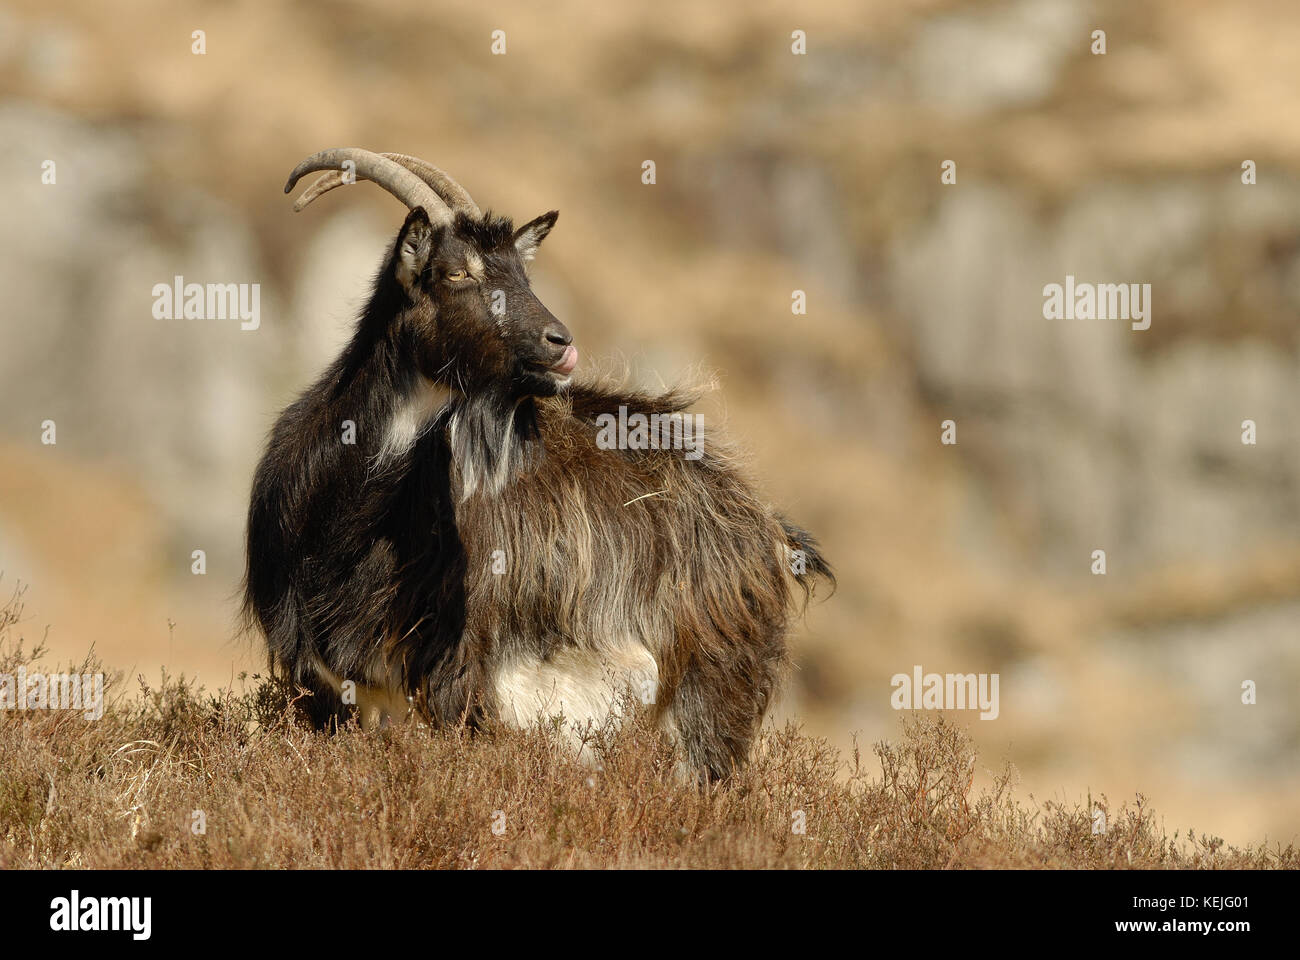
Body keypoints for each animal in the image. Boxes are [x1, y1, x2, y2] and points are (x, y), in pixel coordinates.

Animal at [243, 148, 833, 779]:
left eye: (522, 276)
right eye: (457, 272)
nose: (560, 343)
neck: (343, 525)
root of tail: (767, 528)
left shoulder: (460, 682)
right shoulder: (326, 689)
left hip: (709, 695)